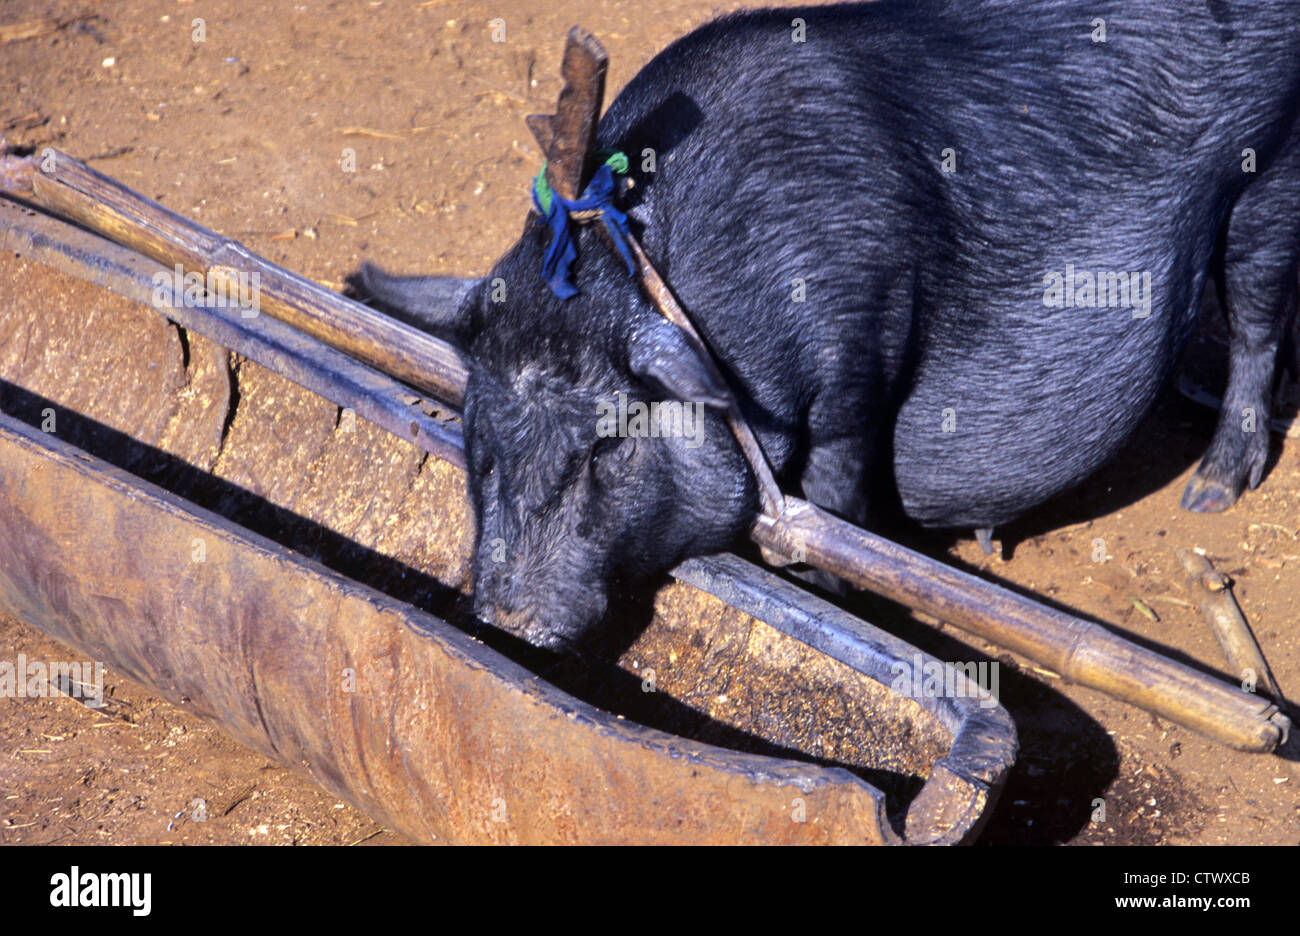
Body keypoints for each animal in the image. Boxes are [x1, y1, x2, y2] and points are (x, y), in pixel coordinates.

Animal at [359, 0, 1300, 651]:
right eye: (479, 437)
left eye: (608, 445)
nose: (508, 619)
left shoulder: (860, 355)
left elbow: (836, 497)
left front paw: (827, 592)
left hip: (1269, 175)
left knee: (1257, 318)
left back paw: (1211, 491)